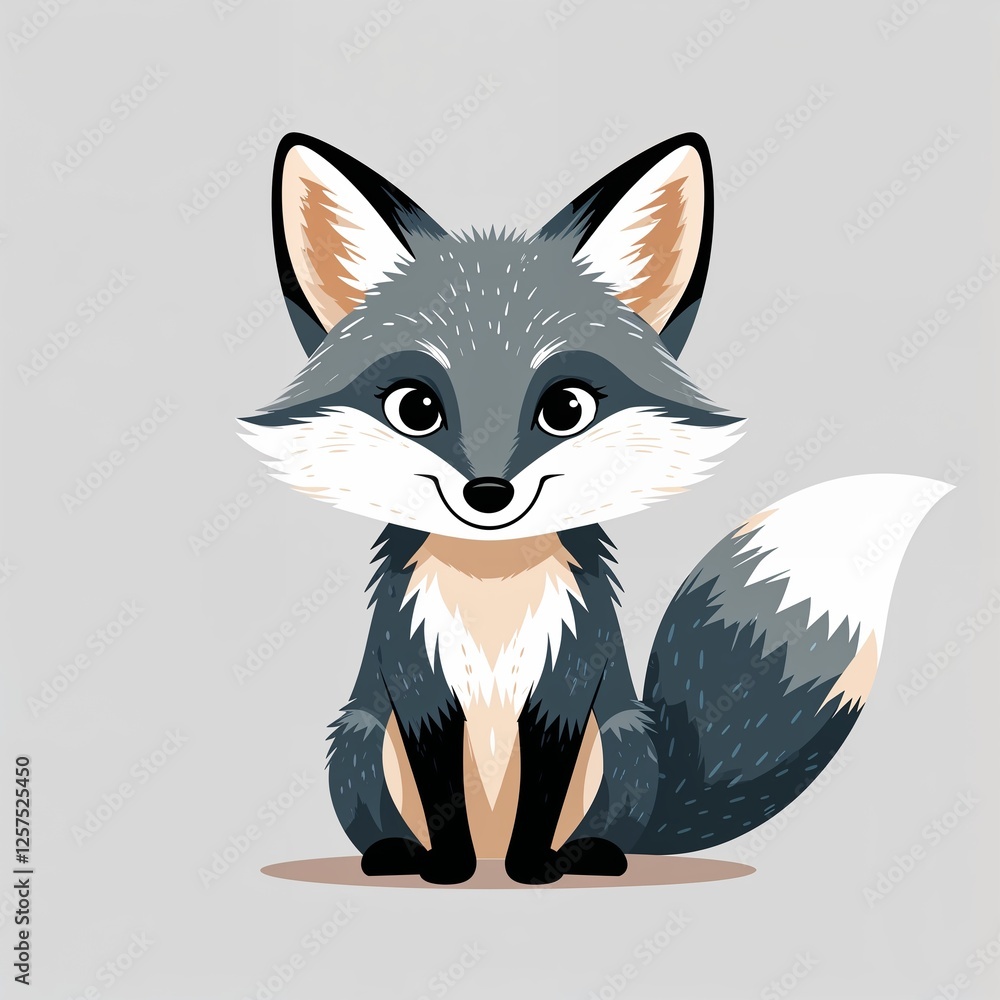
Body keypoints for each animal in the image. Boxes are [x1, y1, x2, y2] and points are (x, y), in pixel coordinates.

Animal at [239, 130, 951, 884]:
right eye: (415, 407)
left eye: (566, 407)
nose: (488, 494)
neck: (493, 591)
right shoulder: (420, 677)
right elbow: (442, 797)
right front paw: (448, 868)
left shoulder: (566, 678)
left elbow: (542, 794)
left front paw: (532, 868)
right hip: (358, 739)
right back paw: (399, 854)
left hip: (624, 741)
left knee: (608, 828)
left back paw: (590, 855)